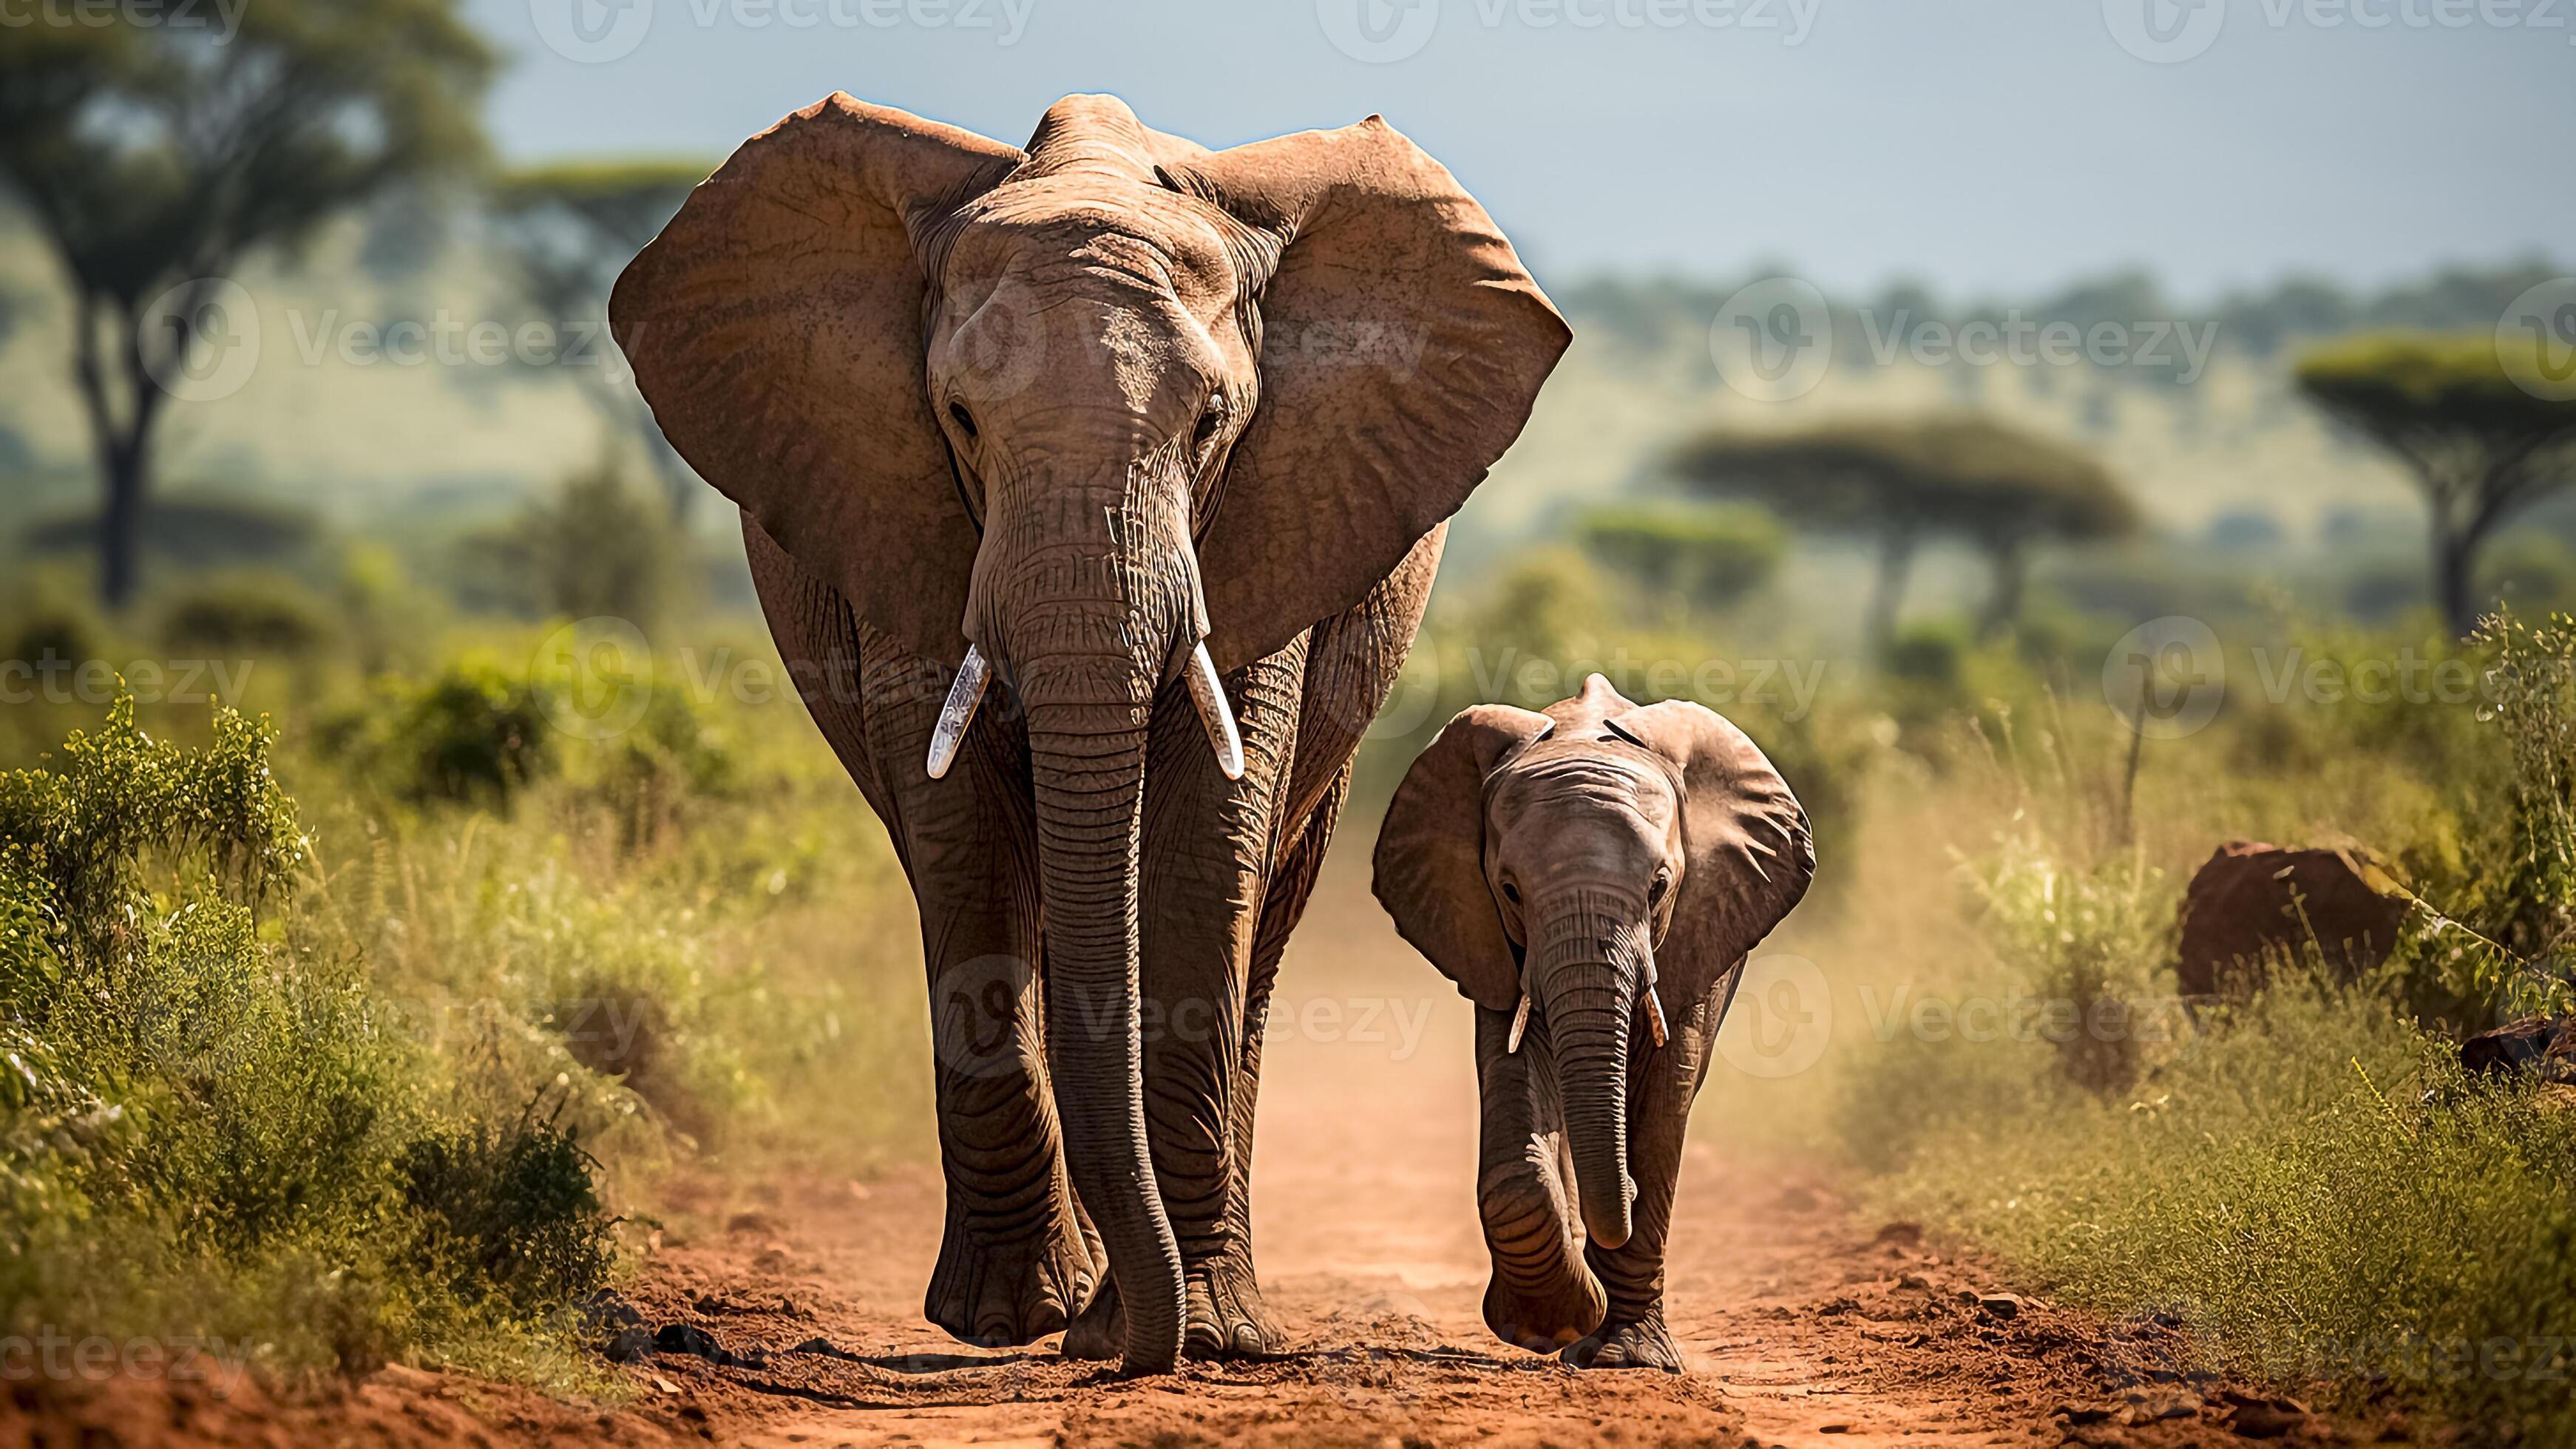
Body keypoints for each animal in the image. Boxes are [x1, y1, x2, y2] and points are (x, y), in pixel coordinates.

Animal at [608, 92, 1568, 1375]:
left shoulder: (1276, 510)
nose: (1134, 1350)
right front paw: (1013, 1322)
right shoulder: (905, 520)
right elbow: (961, 837)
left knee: (1259, 916)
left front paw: (1198, 1335)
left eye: (1211, 422)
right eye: (961, 419)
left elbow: (1208, 842)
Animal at [1371, 675, 1814, 1370]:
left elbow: (1666, 1103)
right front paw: (1552, 1324)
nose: (1622, 1191)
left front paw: (1623, 1358)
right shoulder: (1493, 939)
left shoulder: (1702, 925)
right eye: (1510, 889)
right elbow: (1517, 1085)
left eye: (1660, 886)